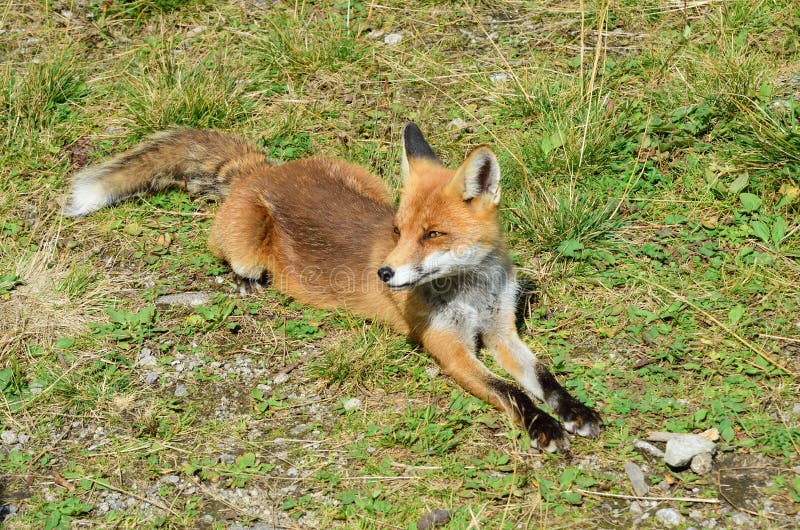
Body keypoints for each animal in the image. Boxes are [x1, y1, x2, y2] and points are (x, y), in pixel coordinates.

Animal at [64, 123, 602, 452]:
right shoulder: (448, 347)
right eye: (397, 230)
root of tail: (263, 171)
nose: (384, 274)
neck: (469, 292)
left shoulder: (501, 330)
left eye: (433, 234)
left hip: (370, 183)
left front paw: (574, 411)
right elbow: (512, 392)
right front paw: (544, 427)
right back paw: (243, 283)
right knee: (236, 261)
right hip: (246, 247)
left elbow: (543, 378)